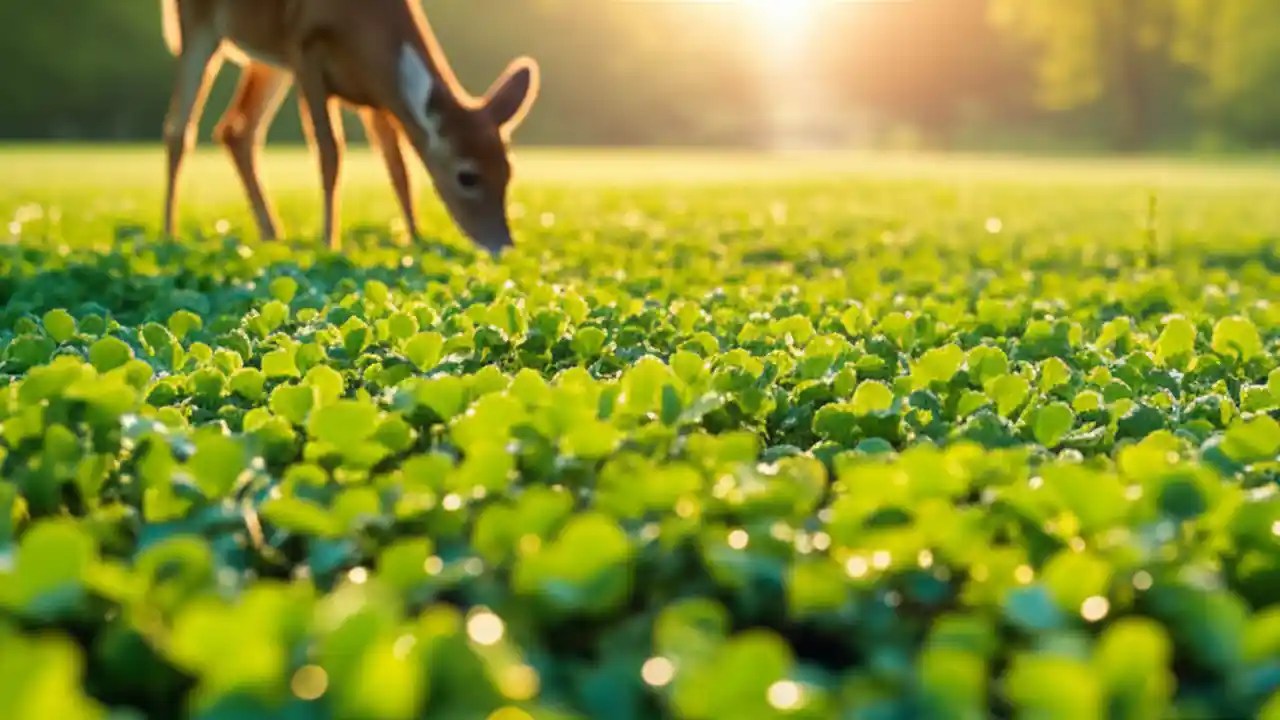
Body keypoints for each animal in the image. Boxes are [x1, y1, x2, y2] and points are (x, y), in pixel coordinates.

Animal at [159, 0, 540, 255]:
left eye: (508, 172)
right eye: (468, 176)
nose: (503, 245)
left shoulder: (378, 97)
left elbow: (398, 168)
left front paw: (416, 238)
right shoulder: (305, 51)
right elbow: (331, 152)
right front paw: (330, 242)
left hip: (267, 59)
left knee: (237, 130)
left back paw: (273, 236)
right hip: (199, 25)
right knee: (180, 129)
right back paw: (169, 235)